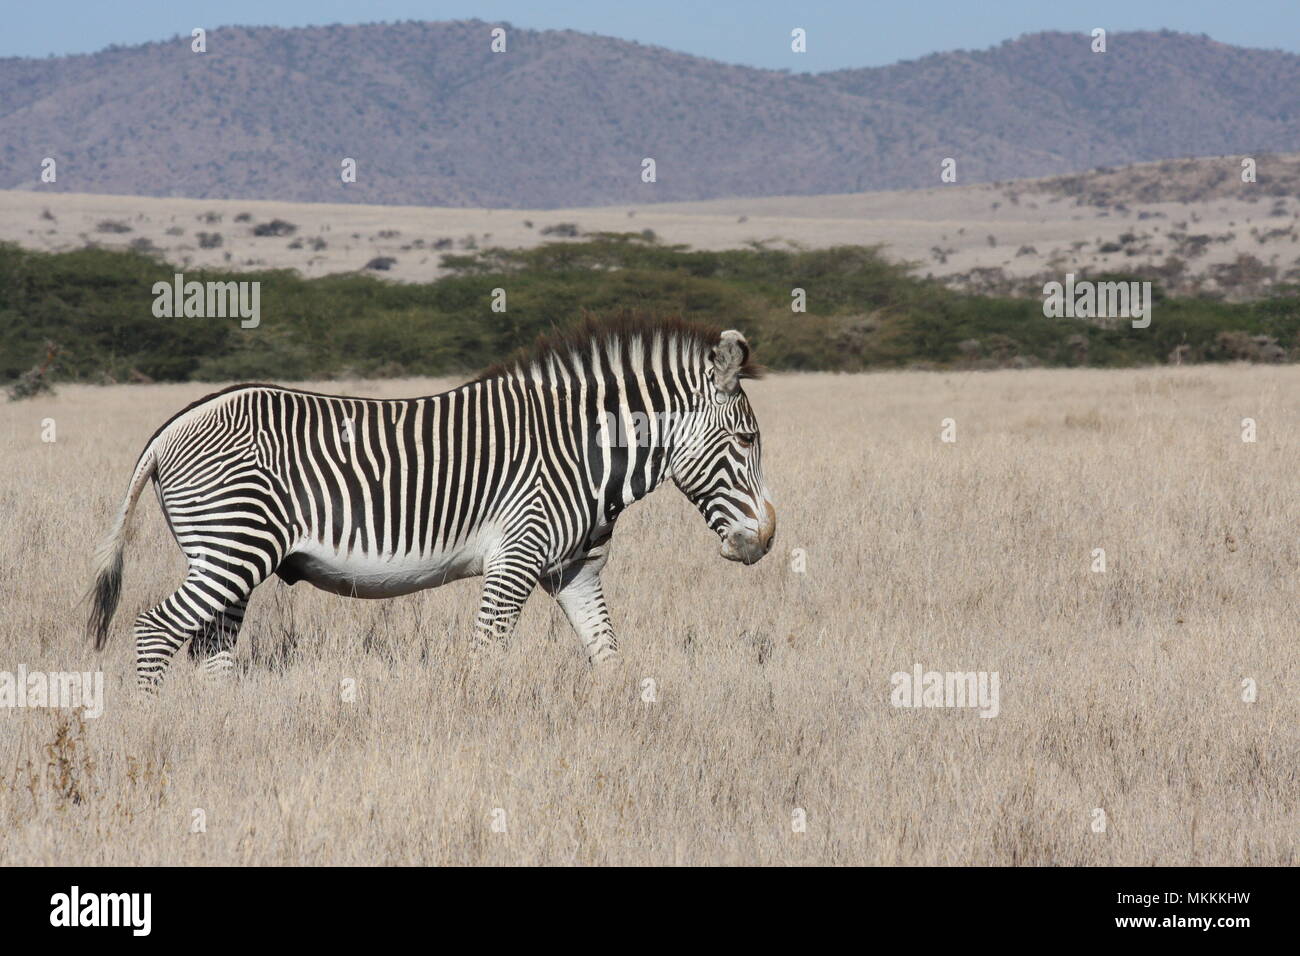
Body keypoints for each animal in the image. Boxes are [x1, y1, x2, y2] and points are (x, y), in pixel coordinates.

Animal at [86, 316, 776, 689]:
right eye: (746, 439)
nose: (766, 540)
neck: (582, 451)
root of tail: (172, 426)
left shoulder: (575, 568)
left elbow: (607, 655)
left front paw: (629, 720)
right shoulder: (516, 557)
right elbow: (484, 658)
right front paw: (478, 726)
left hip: (229, 554)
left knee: (211, 648)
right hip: (233, 546)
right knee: (157, 628)